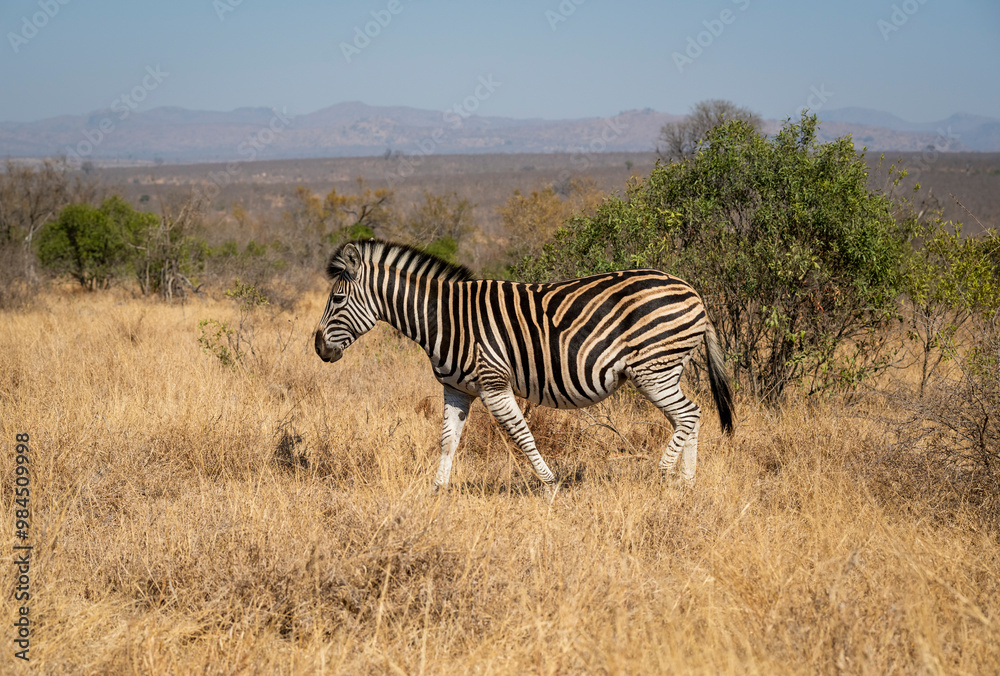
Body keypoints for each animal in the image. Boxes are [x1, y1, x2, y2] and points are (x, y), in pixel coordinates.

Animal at [314, 239, 733, 491]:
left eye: (336, 299)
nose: (318, 348)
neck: (446, 319)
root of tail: (694, 291)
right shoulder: (456, 389)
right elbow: (448, 440)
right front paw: (437, 491)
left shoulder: (493, 384)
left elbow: (522, 434)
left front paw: (550, 486)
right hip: (665, 370)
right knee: (690, 415)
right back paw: (687, 483)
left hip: (653, 370)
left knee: (689, 414)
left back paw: (663, 476)